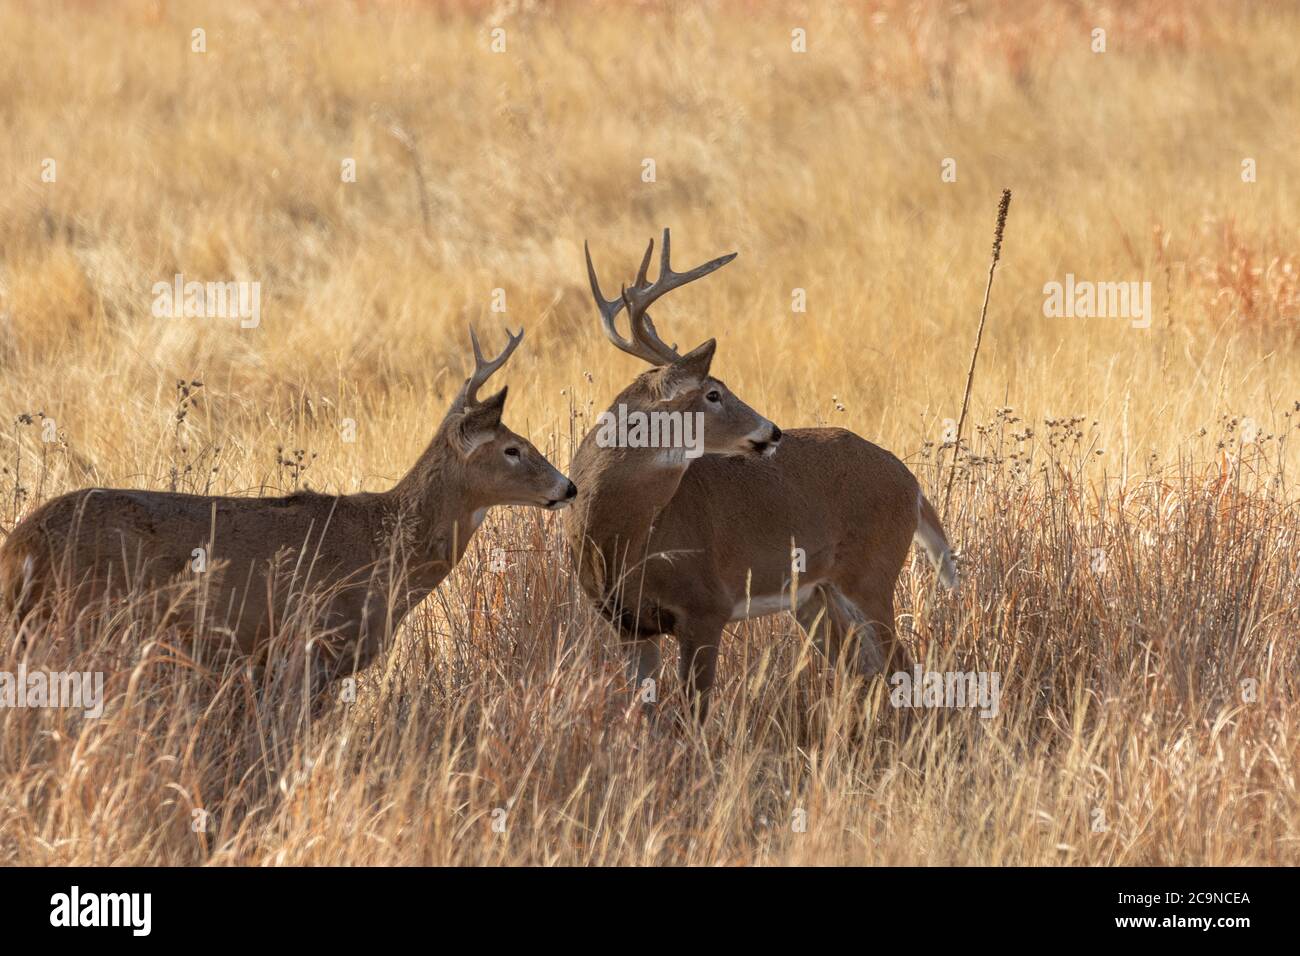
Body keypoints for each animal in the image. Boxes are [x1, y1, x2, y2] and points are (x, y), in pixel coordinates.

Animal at [0, 327, 576, 693]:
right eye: (513, 449)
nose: (567, 486)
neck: (387, 549)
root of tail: (20, 545)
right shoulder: (310, 645)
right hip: (79, 623)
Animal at [566, 230, 957, 721]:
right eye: (713, 393)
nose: (772, 431)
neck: (624, 536)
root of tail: (912, 483)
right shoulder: (629, 625)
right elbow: (647, 716)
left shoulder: (706, 607)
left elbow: (694, 713)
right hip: (814, 595)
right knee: (861, 671)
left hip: (871, 573)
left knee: (900, 665)